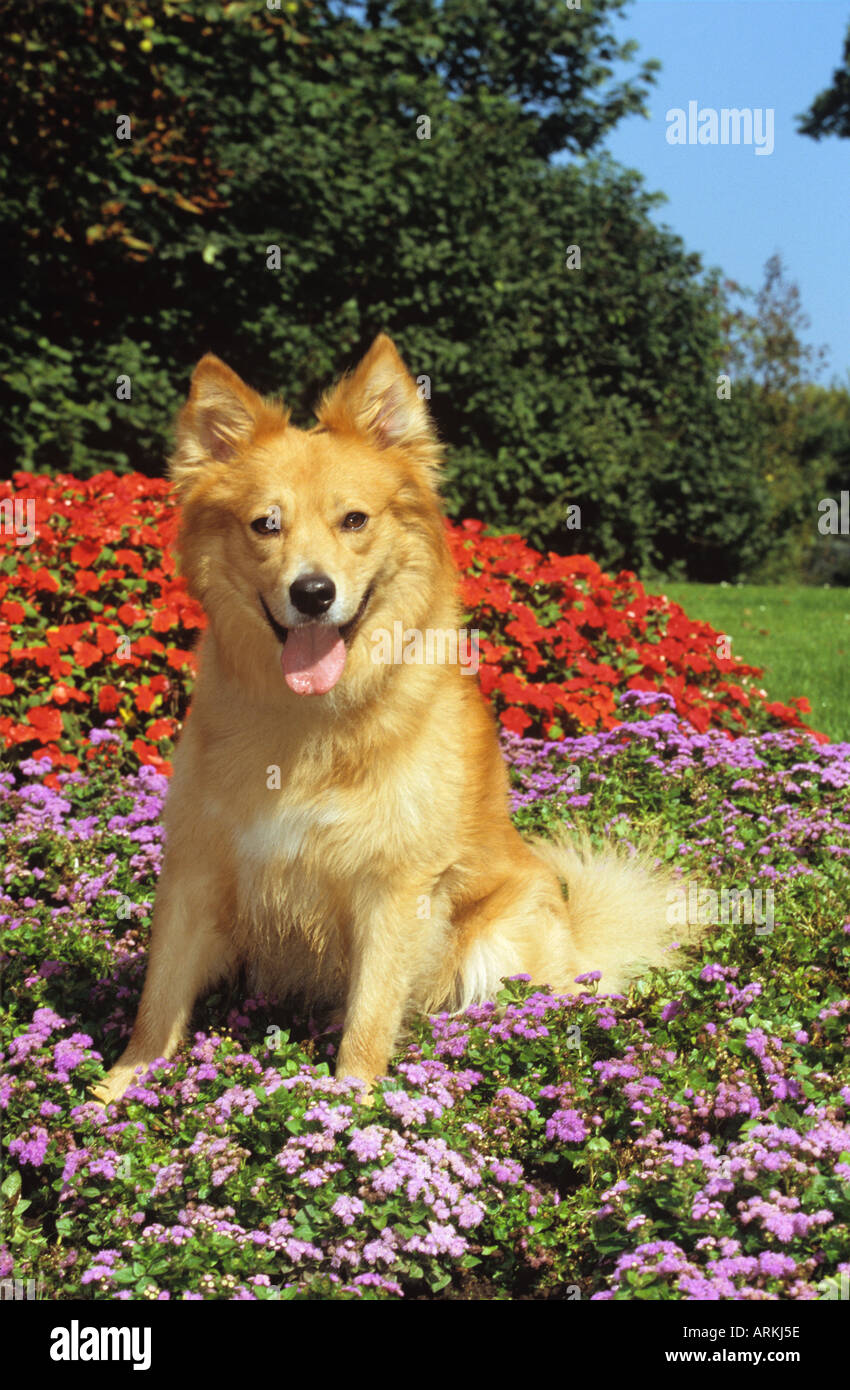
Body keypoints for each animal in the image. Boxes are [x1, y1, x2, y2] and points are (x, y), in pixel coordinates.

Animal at [94, 333, 692, 1105]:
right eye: (266, 524)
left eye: (355, 520)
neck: (312, 721)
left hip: (501, 939)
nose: (312, 593)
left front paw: (352, 1104)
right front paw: (117, 1090)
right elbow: (158, 998)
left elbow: (371, 1014)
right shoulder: (198, 865)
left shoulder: (396, 886)